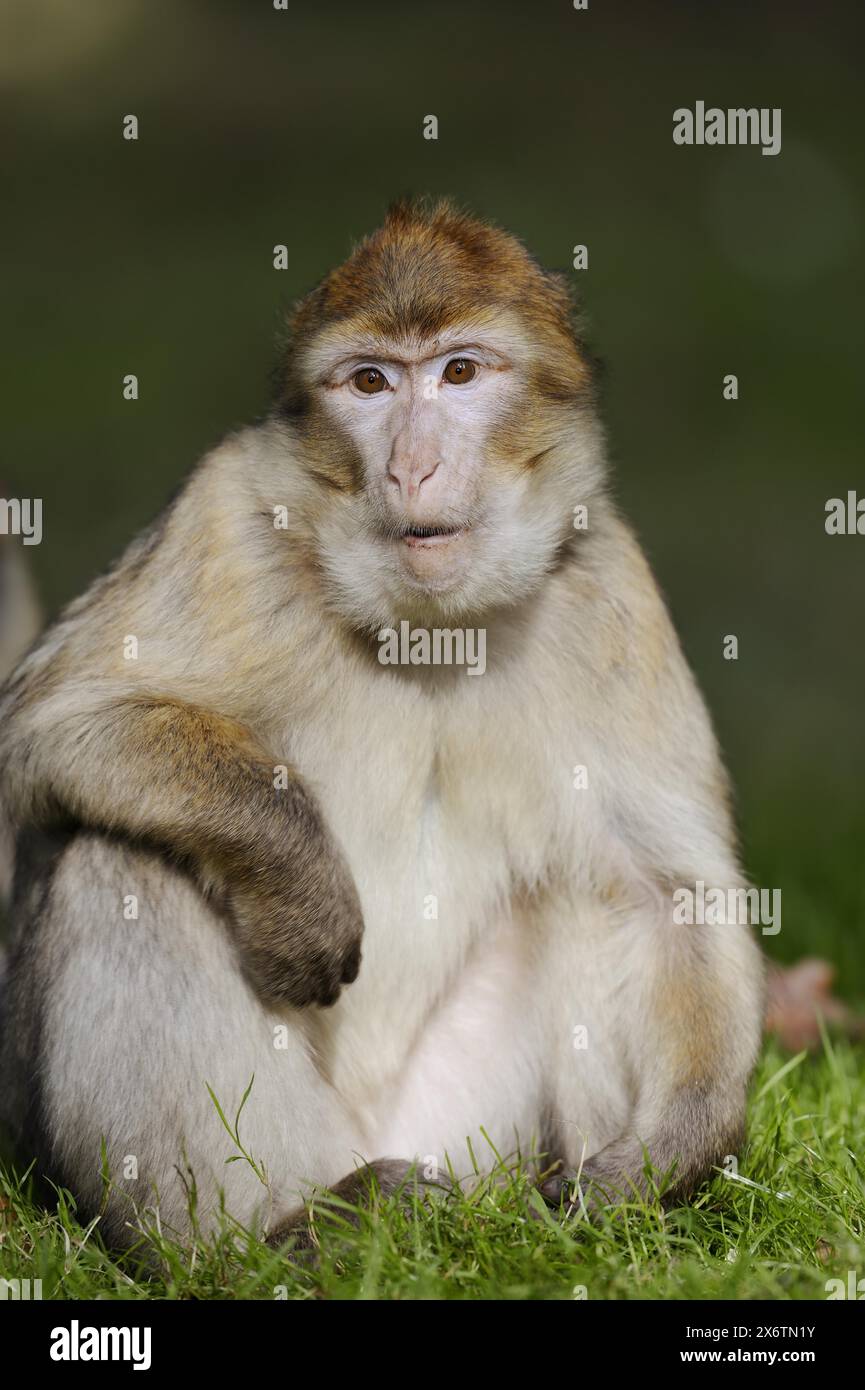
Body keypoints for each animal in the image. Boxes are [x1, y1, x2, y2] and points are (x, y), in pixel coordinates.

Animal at [0, 199, 765, 1248]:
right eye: (368, 382)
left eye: (459, 373)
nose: (412, 466)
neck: (430, 630)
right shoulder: (226, 514)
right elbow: (51, 721)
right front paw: (295, 872)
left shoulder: (608, 583)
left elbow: (665, 893)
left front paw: (660, 1158)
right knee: (120, 861)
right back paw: (270, 1242)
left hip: (464, 1130)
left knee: (582, 891)